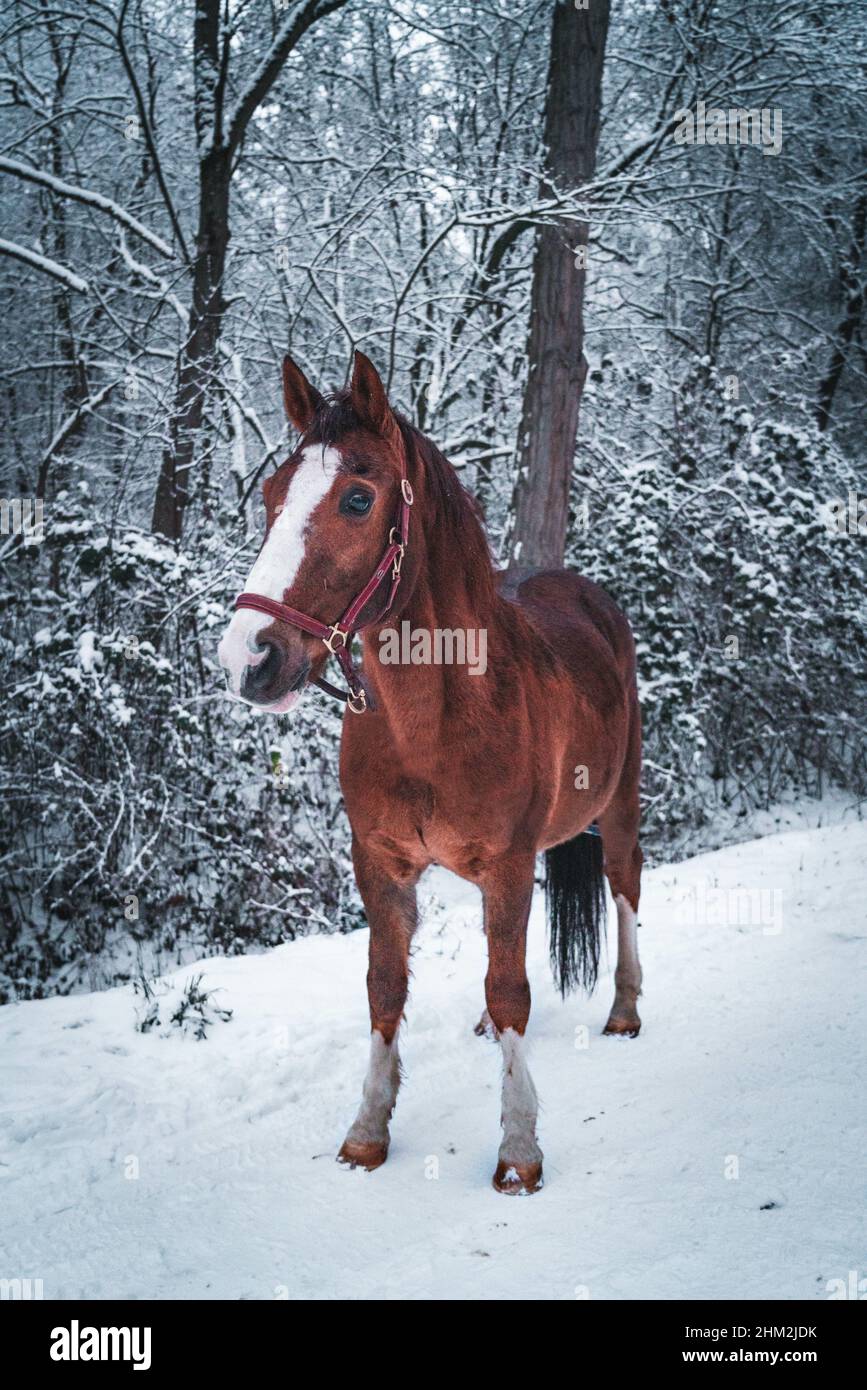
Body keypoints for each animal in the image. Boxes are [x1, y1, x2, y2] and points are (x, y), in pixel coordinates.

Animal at [217, 350, 643, 1195]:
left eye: (357, 498)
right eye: (274, 498)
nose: (248, 656)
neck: (436, 717)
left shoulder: (507, 861)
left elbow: (510, 990)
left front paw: (519, 1149)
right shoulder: (381, 865)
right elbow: (387, 988)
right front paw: (365, 1133)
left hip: (617, 806)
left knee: (624, 885)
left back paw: (624, 1011)